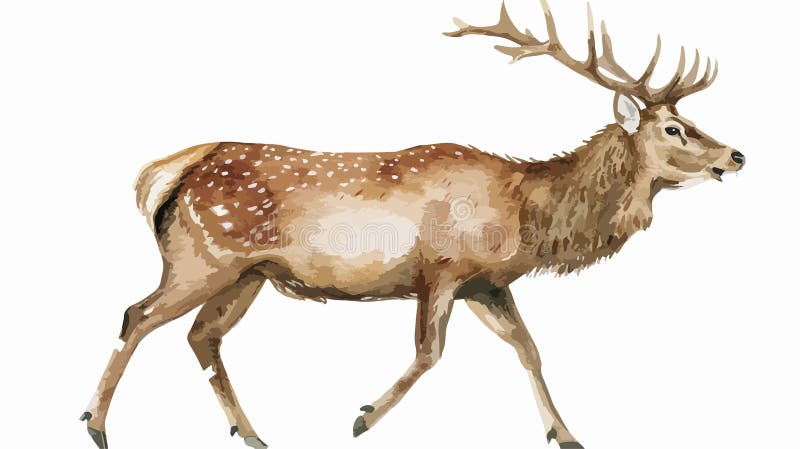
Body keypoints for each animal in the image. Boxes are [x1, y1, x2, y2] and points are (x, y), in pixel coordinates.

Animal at [81, 1, 744, 448]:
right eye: (675, 129)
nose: (736, 155)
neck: (524, 216)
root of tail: (170, 170)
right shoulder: (441, 269)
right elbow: (430, 353)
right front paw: (361, 417)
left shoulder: (488, 283)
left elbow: (530, 350)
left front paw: (568, 434)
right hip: (202, 255)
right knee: (138, 315)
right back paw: (96, 423)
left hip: (249, 273)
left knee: (202, 336)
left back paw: (251, 433)